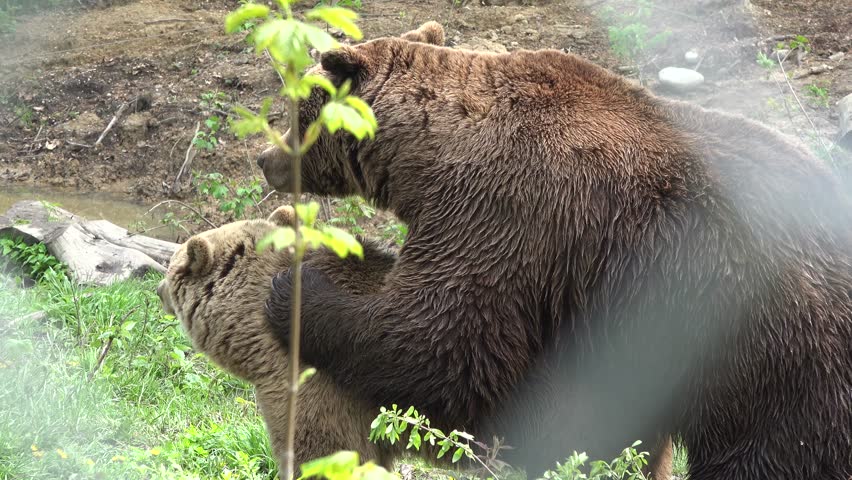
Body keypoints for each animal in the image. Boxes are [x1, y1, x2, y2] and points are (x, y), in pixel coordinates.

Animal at [255, 20, 852, 480]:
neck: (423, 158)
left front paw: (300, 286)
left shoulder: (506, 215)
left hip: (771, 353)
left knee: (774, 454)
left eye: (294, 111)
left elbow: (441, 346)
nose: (265, 159)